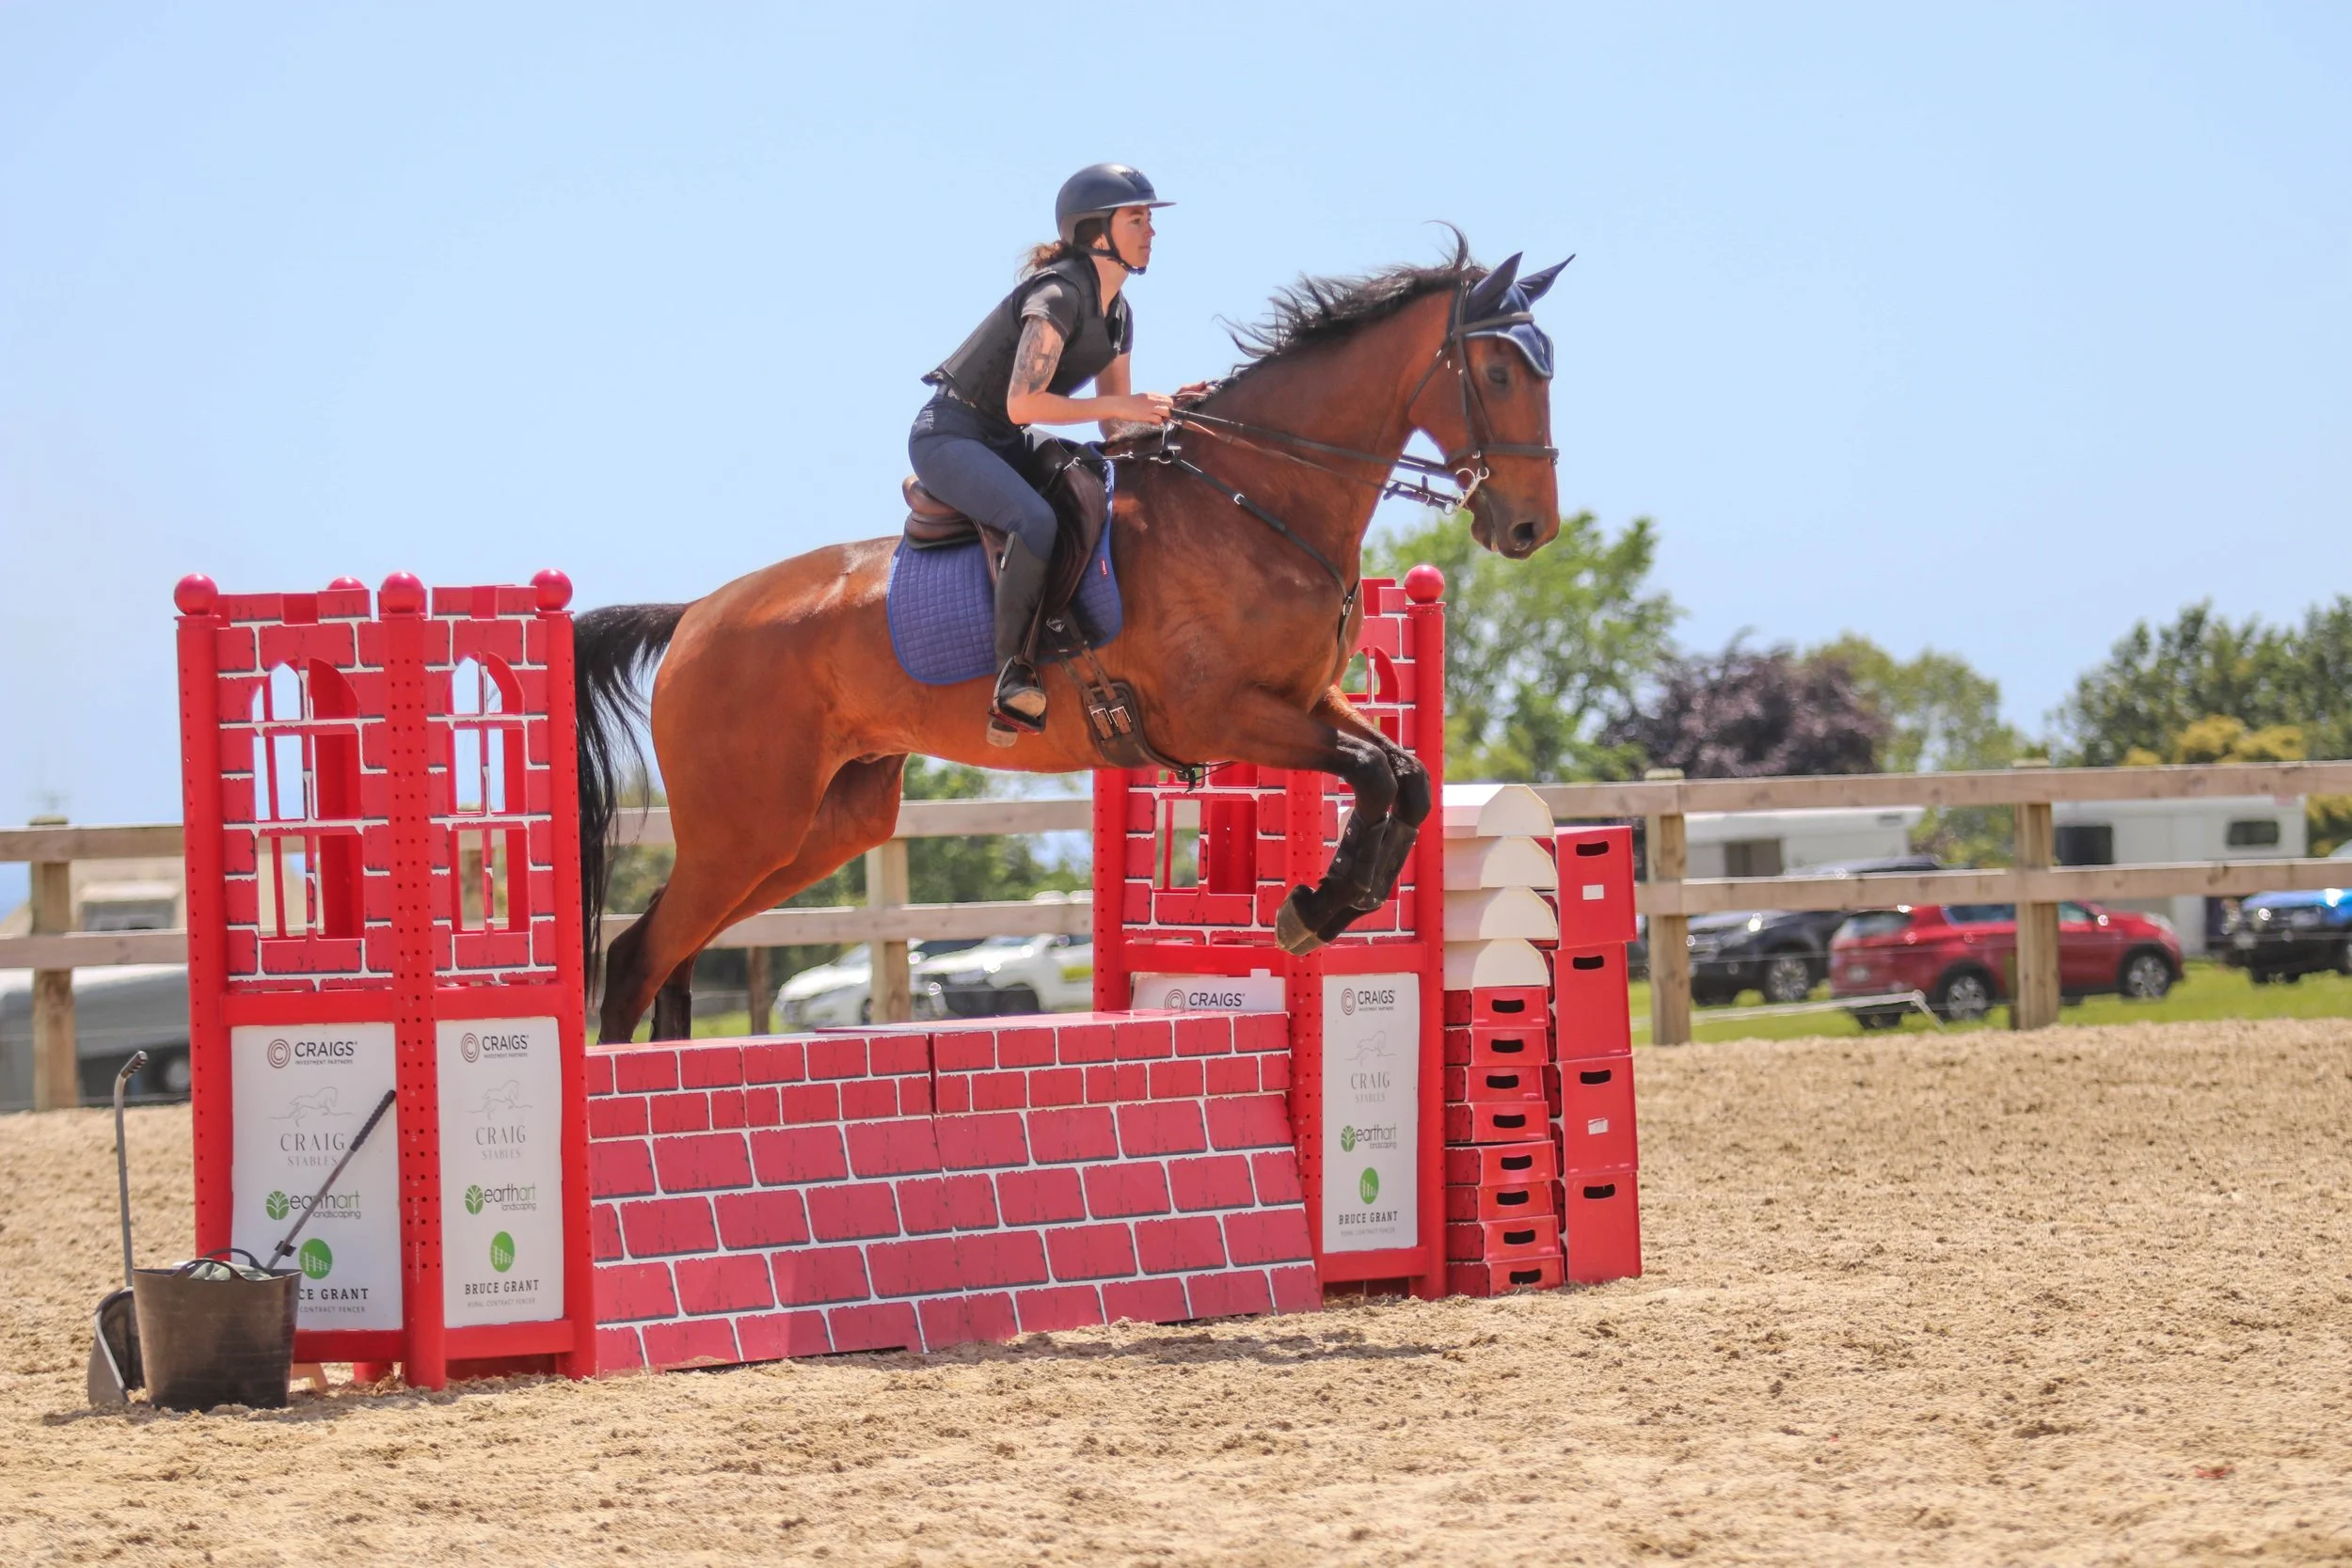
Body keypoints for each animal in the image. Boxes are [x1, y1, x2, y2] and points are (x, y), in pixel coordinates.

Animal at [576, 236, 1566, 1043]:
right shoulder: (1222, 715)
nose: (1530, 530)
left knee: (668, 953)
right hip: (746, 826)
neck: (1258, 500)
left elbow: (1407, 775)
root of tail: (694, 614)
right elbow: (1373, 773)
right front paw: (1315, 908)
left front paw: (1332, 901)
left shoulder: (1308, 700)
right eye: (1500, 374)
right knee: (634, 959)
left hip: (819, 827)